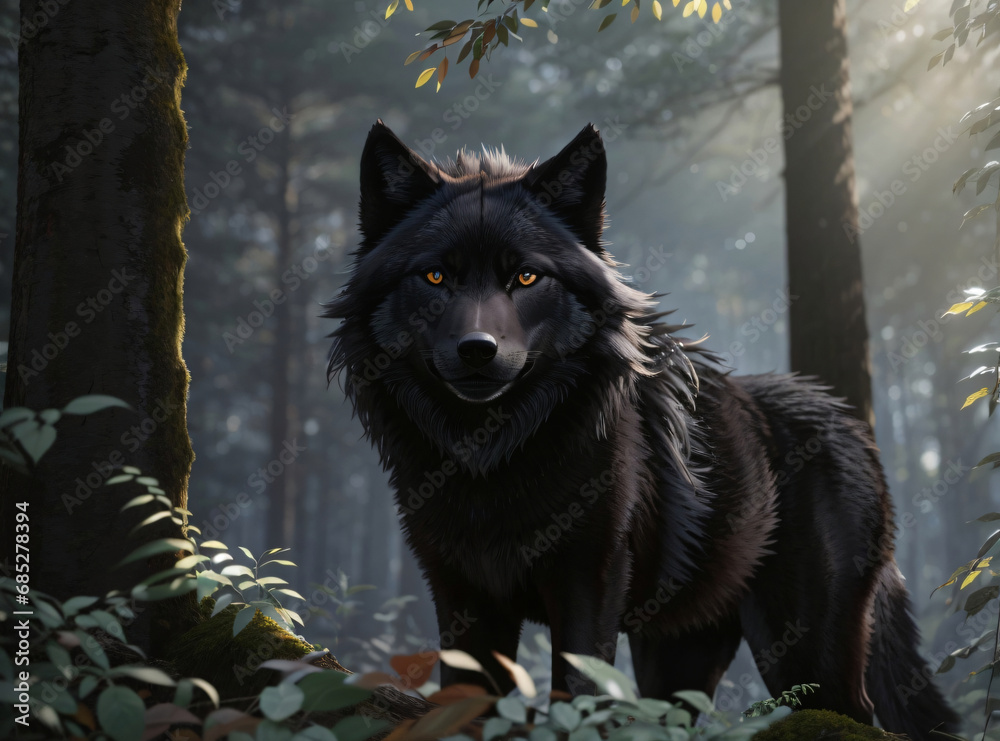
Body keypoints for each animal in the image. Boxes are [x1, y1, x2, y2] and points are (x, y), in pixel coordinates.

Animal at [324, 120, 959, 739]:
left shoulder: (590, 580)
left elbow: (577, 696)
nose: (477, 350)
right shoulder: (459, 590)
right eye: (435, 276)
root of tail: (849, 421)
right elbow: (467, 705)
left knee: (856, 714)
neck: (493, 459)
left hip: (802, 648)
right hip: (679, 649)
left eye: (526, 277)